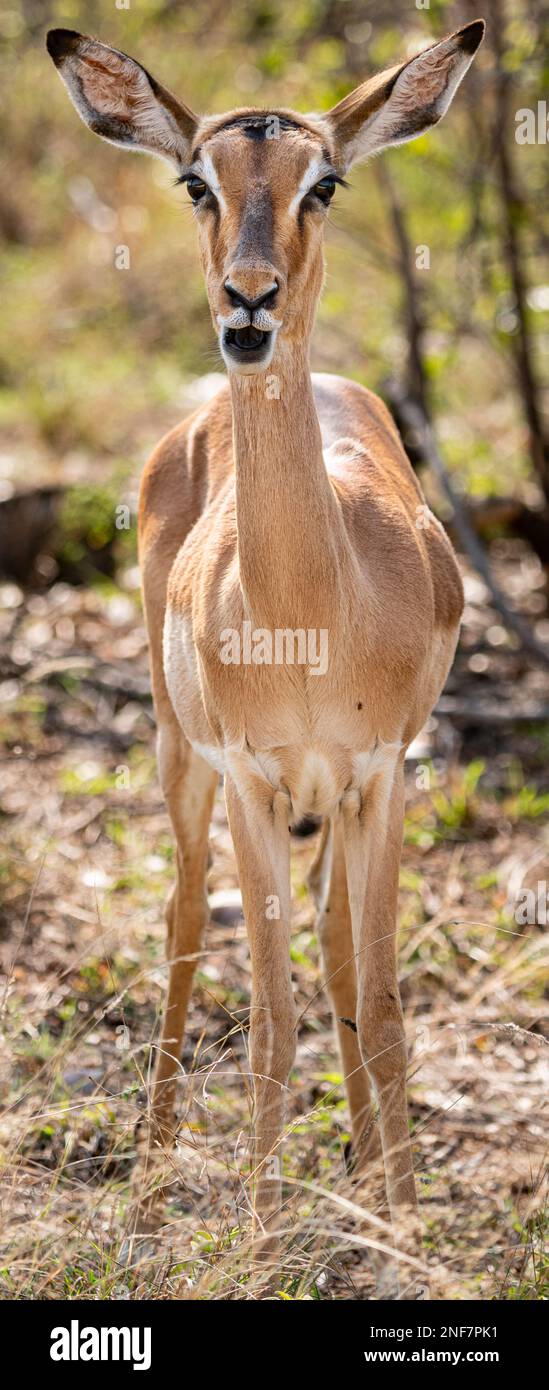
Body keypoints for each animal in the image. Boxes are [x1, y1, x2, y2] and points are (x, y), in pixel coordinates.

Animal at [47, 20, 484, 1270]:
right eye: (197, 180)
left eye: (321, 182)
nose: (250, 303)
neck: (312, 620)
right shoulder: (250, 780)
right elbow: (270, 1023)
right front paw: (257, 1239)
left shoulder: (380, 773)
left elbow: (379, 1007)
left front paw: (402, 1235)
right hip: (179, 761)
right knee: (187, 923)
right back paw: (151, 1198)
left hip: (326, 807)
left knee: (336, 957)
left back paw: (357, 1187)